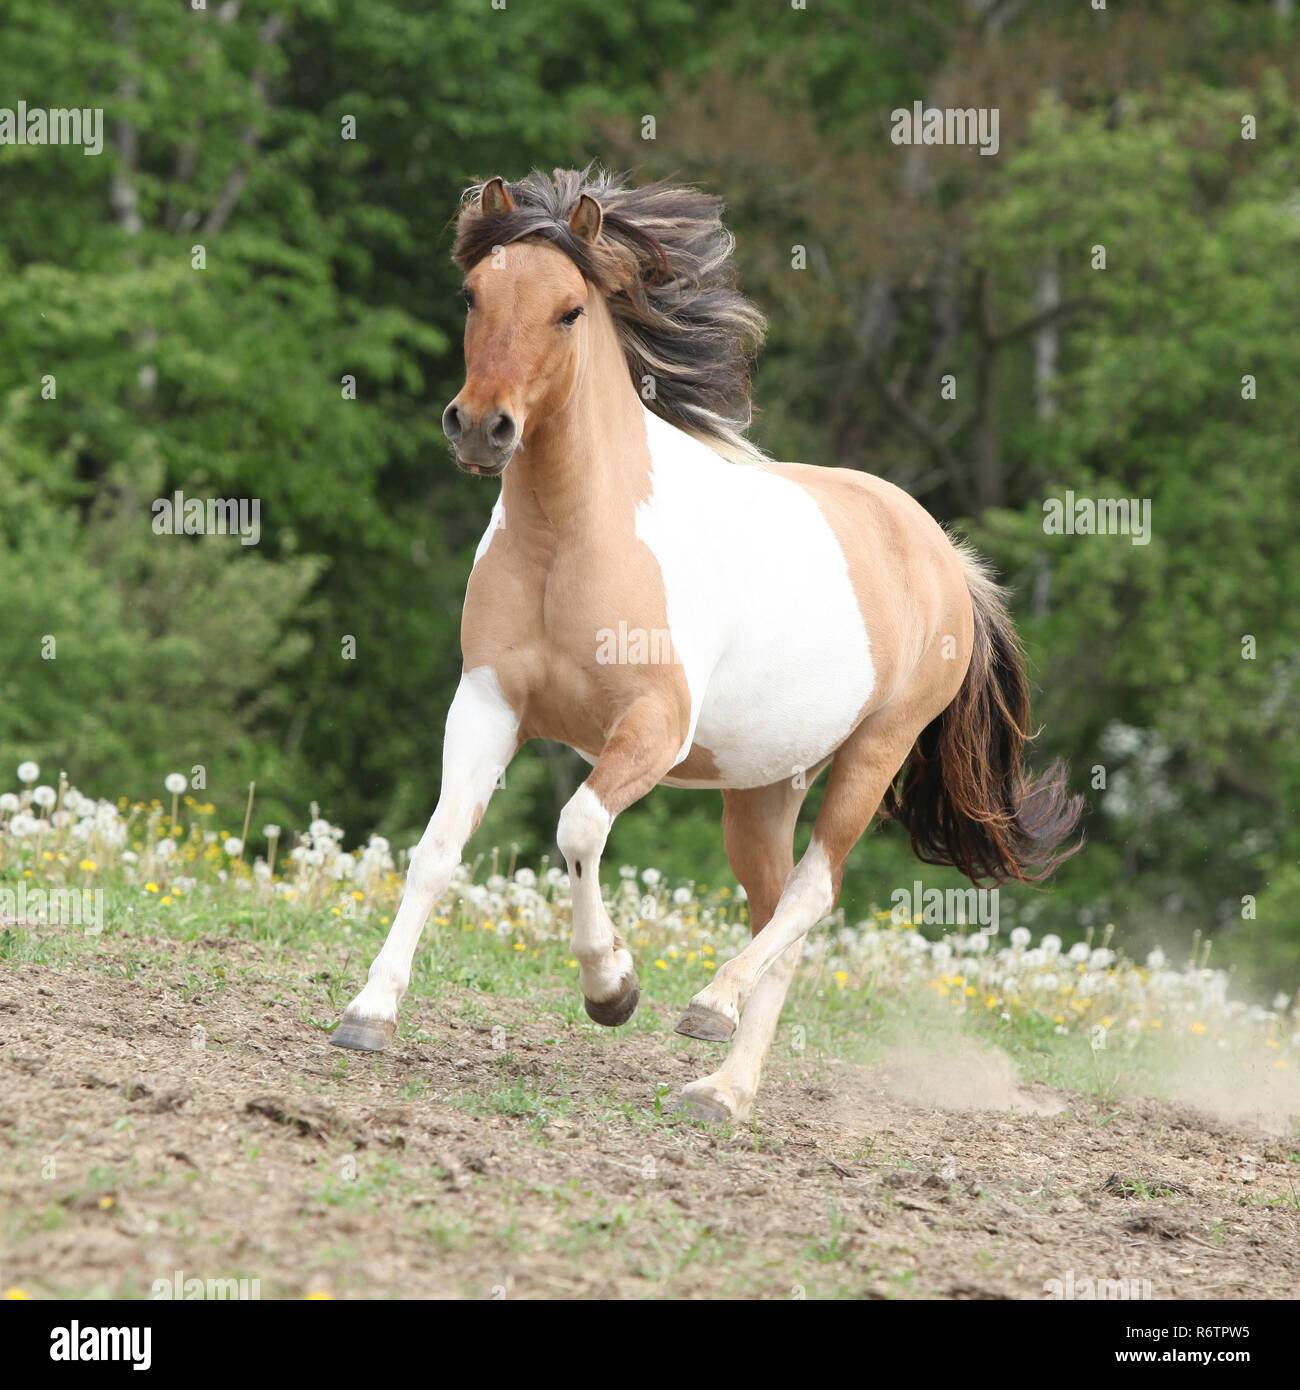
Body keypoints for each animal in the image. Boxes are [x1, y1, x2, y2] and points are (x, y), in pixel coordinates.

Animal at [330, 166, 1082, 1122]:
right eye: (472, 296)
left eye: (569, 310)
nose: (479, 428)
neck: (572, 537)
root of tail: (948, 557)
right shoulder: (488, 706)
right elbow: (435, 852)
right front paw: (368, 1015)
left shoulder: (653, 726)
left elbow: (578, 826)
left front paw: (612, 989)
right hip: (764, 786)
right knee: (779, 912)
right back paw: (724, 1088)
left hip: (875, 752)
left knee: (813, 891)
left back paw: (709, 1012)